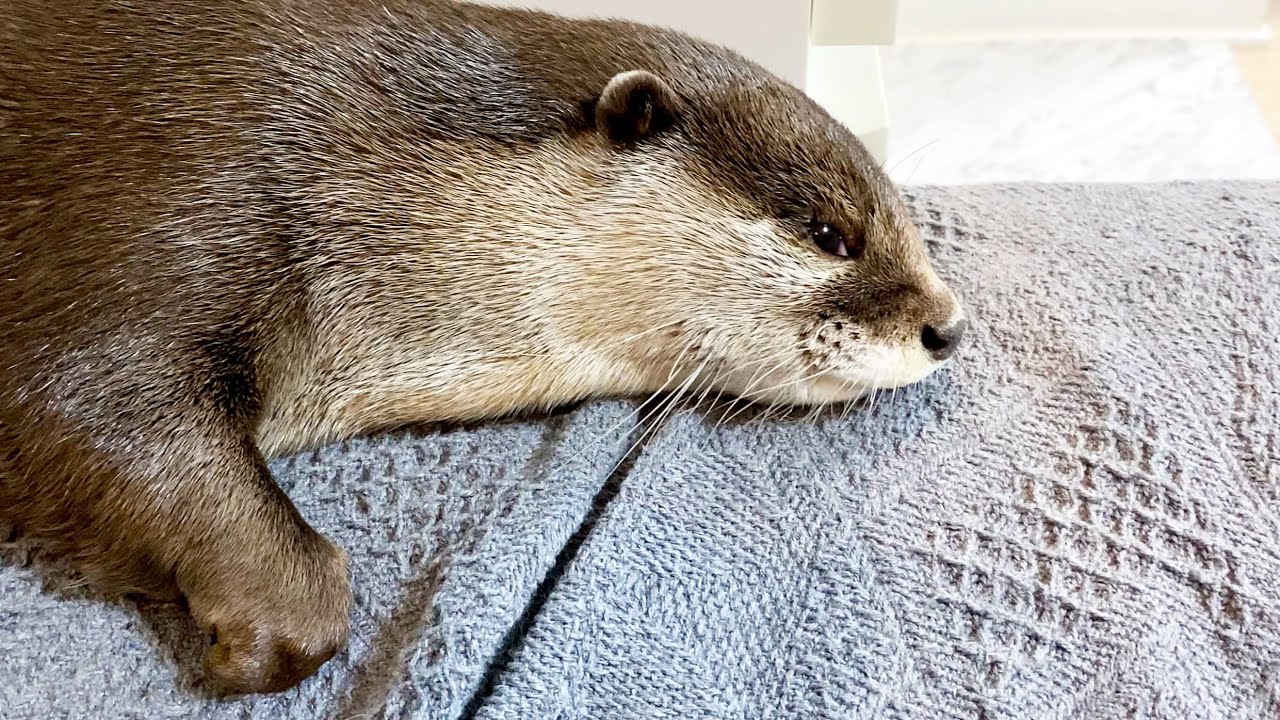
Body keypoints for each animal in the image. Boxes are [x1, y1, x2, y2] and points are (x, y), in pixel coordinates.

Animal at [0, 0, 966, 696]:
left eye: (906, 220)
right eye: (832, 234)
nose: (948, 326)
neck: (347, 159)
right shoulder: (187, 198)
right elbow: (80, 400)